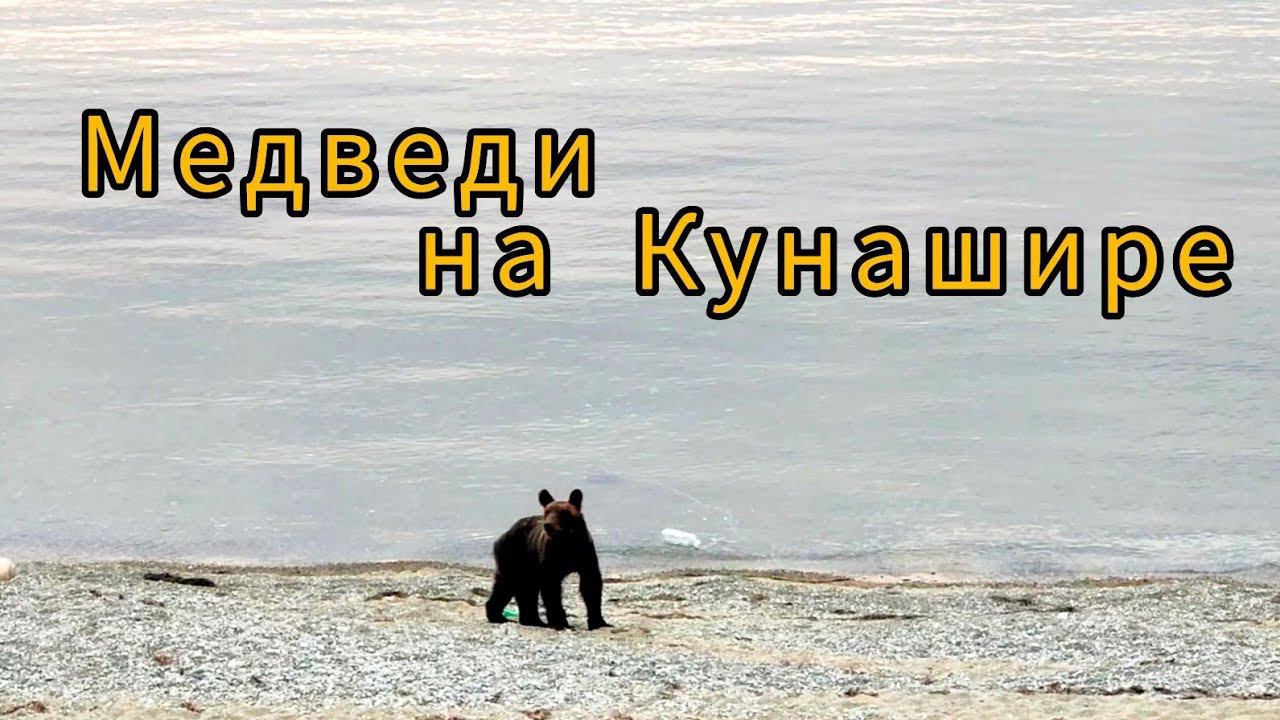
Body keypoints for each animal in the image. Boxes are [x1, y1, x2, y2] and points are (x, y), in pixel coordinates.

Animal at [485, 488, 611, 630]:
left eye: (563, 512)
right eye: (547, 511)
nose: (548, 525)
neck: (567, 544)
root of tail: (506, 532)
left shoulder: (584, 554)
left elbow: (590, 584)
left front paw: (598, 621)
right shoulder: (550, 559)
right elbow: (551, 589)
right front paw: (559, 622)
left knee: (525, 588)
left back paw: (532, 620)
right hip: (514, 555)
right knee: (508, 583)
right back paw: (499, 616)